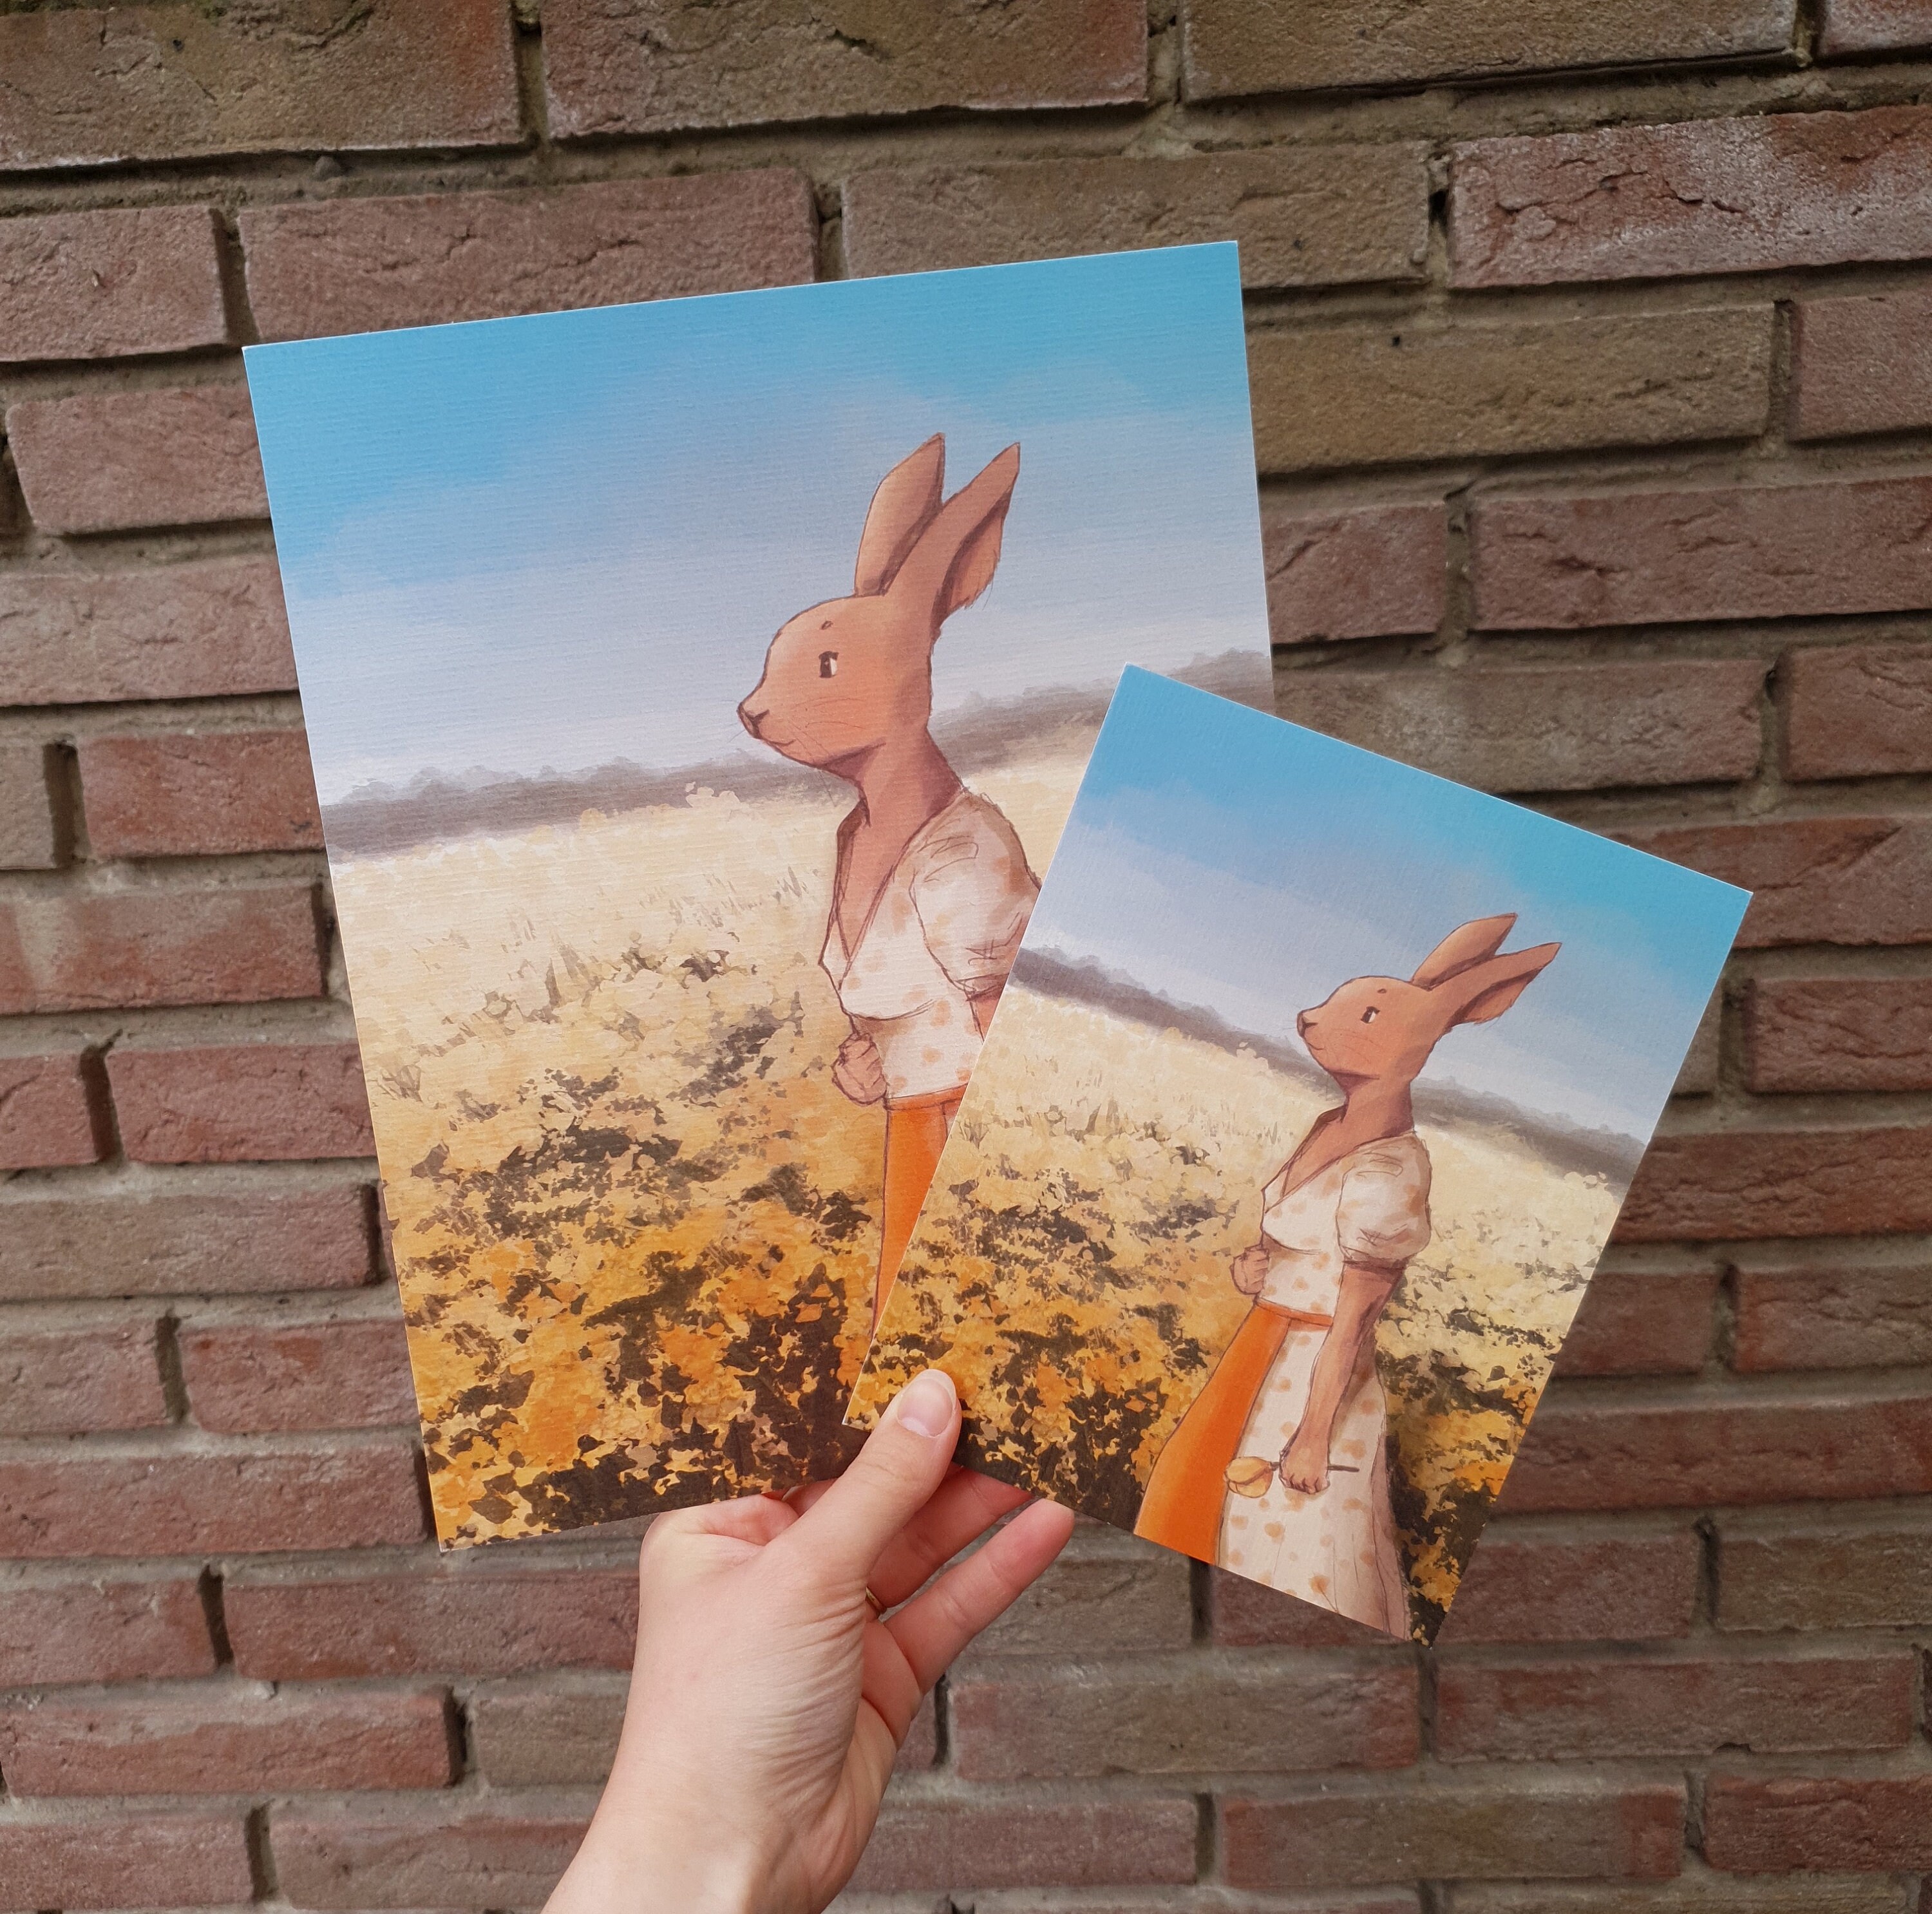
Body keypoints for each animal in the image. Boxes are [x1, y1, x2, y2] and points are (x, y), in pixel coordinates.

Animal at [1136, 914, 1558, 1636]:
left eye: (1369, 1013)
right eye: (1342, 996)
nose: (1305, 1018)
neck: (1359, 1122)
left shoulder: (1375, 1233)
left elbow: (1339, 1340)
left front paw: (1305, 1466)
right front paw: (1253, 1265)